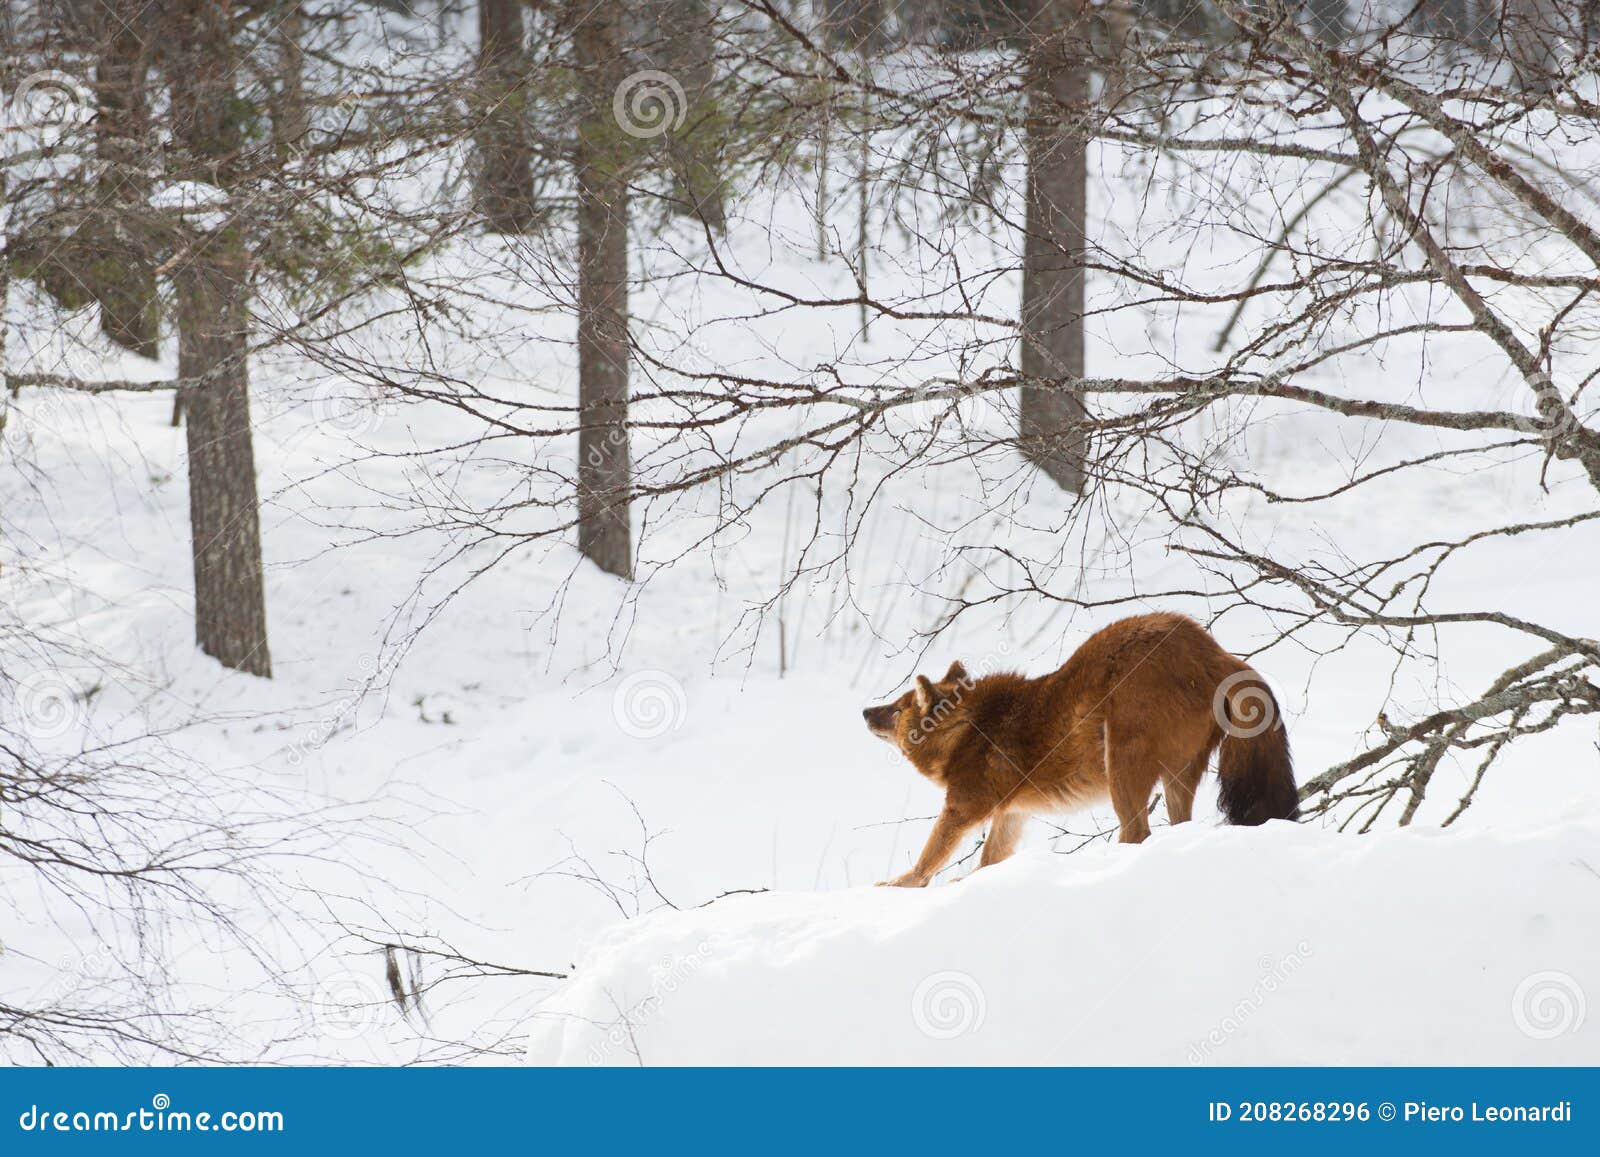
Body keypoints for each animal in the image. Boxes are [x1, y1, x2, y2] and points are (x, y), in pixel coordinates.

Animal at [862, 612, 1298, 887]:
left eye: (898, 708)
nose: (865, 710)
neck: (970, 728)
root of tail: (1218, 655)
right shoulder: (1011, 812)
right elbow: (989, 860)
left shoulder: (966, 803)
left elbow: (931, 855)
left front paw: (898, 884)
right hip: (1179, 772)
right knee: (1176, 825)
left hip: (1122, 759)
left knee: (1137, 831)